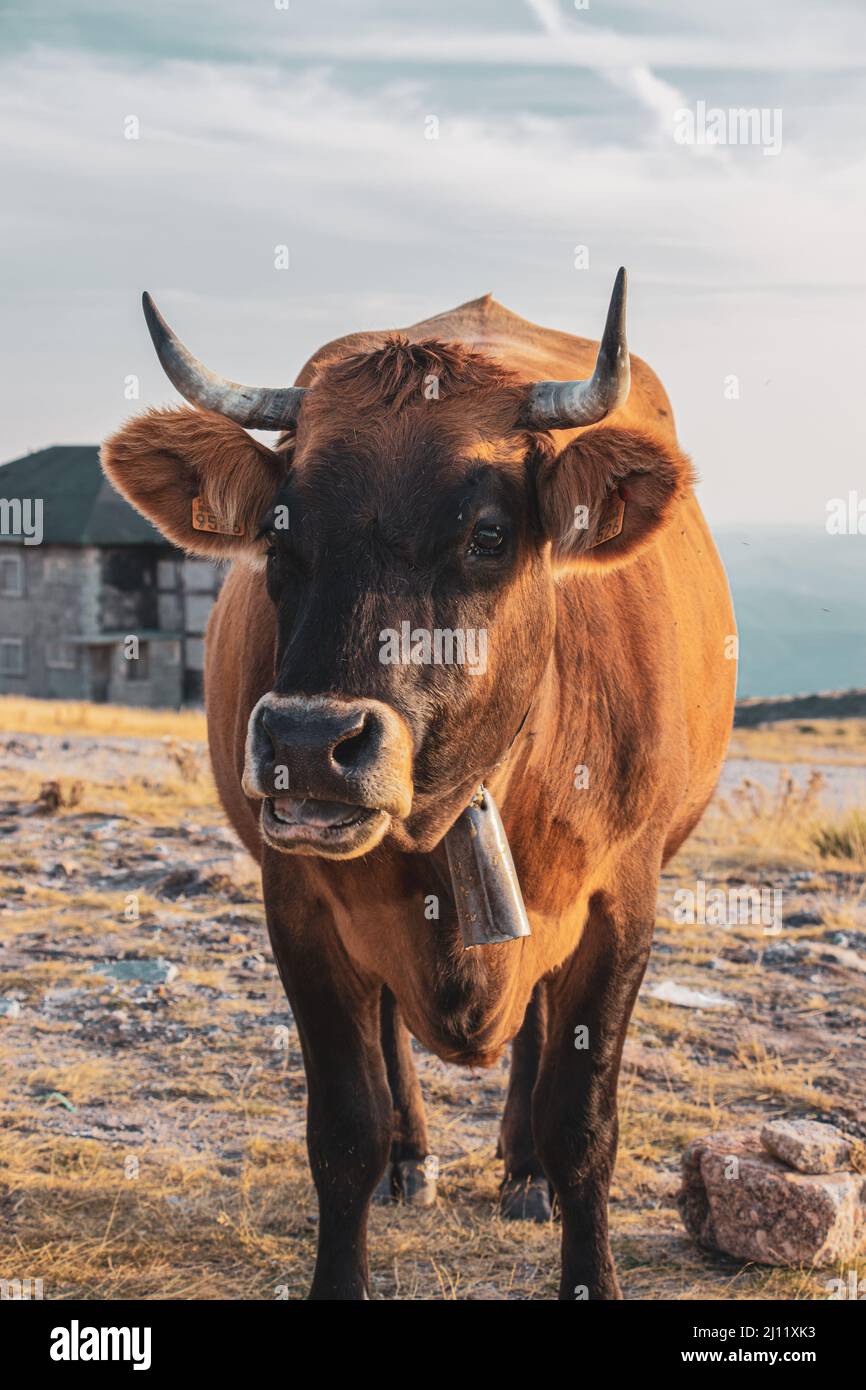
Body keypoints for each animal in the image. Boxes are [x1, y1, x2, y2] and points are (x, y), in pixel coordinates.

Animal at [101, 271, 736, 1300]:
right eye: (278, 531)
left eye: (488, 533)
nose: (309, 741)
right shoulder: (300, 906)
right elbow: (343, 1130)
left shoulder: (623, 904)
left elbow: (583, 1124)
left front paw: (576, 1237)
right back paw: (414, 1157)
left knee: (536, 1037)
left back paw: (523, 1173)